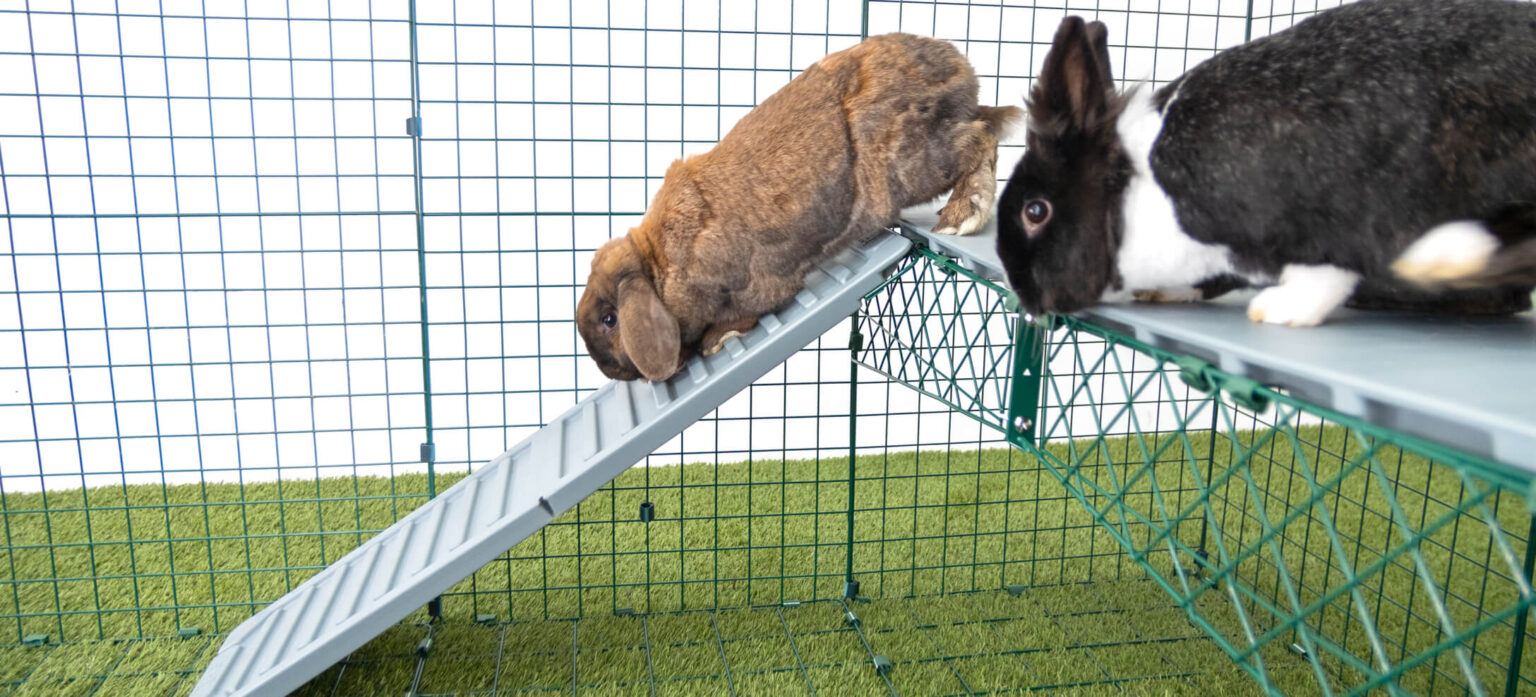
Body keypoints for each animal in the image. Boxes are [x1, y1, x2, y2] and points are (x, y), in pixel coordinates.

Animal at [578, 33, 1022, 381]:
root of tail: (960, 70)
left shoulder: (750, 288)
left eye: (610, 320)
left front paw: (716, 342)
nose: (608, 370)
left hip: (916, 160)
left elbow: (741, 316)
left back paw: (960, 216)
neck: (656, 262)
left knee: (980, 138)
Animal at [995, 0, 1536, 327]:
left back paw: (1440, 262)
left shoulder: (1336, 218)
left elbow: (1325, 271)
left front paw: (1280, 309)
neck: (1137, 193)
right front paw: (1170, 291)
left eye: (1035, 211)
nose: (1025, 296)